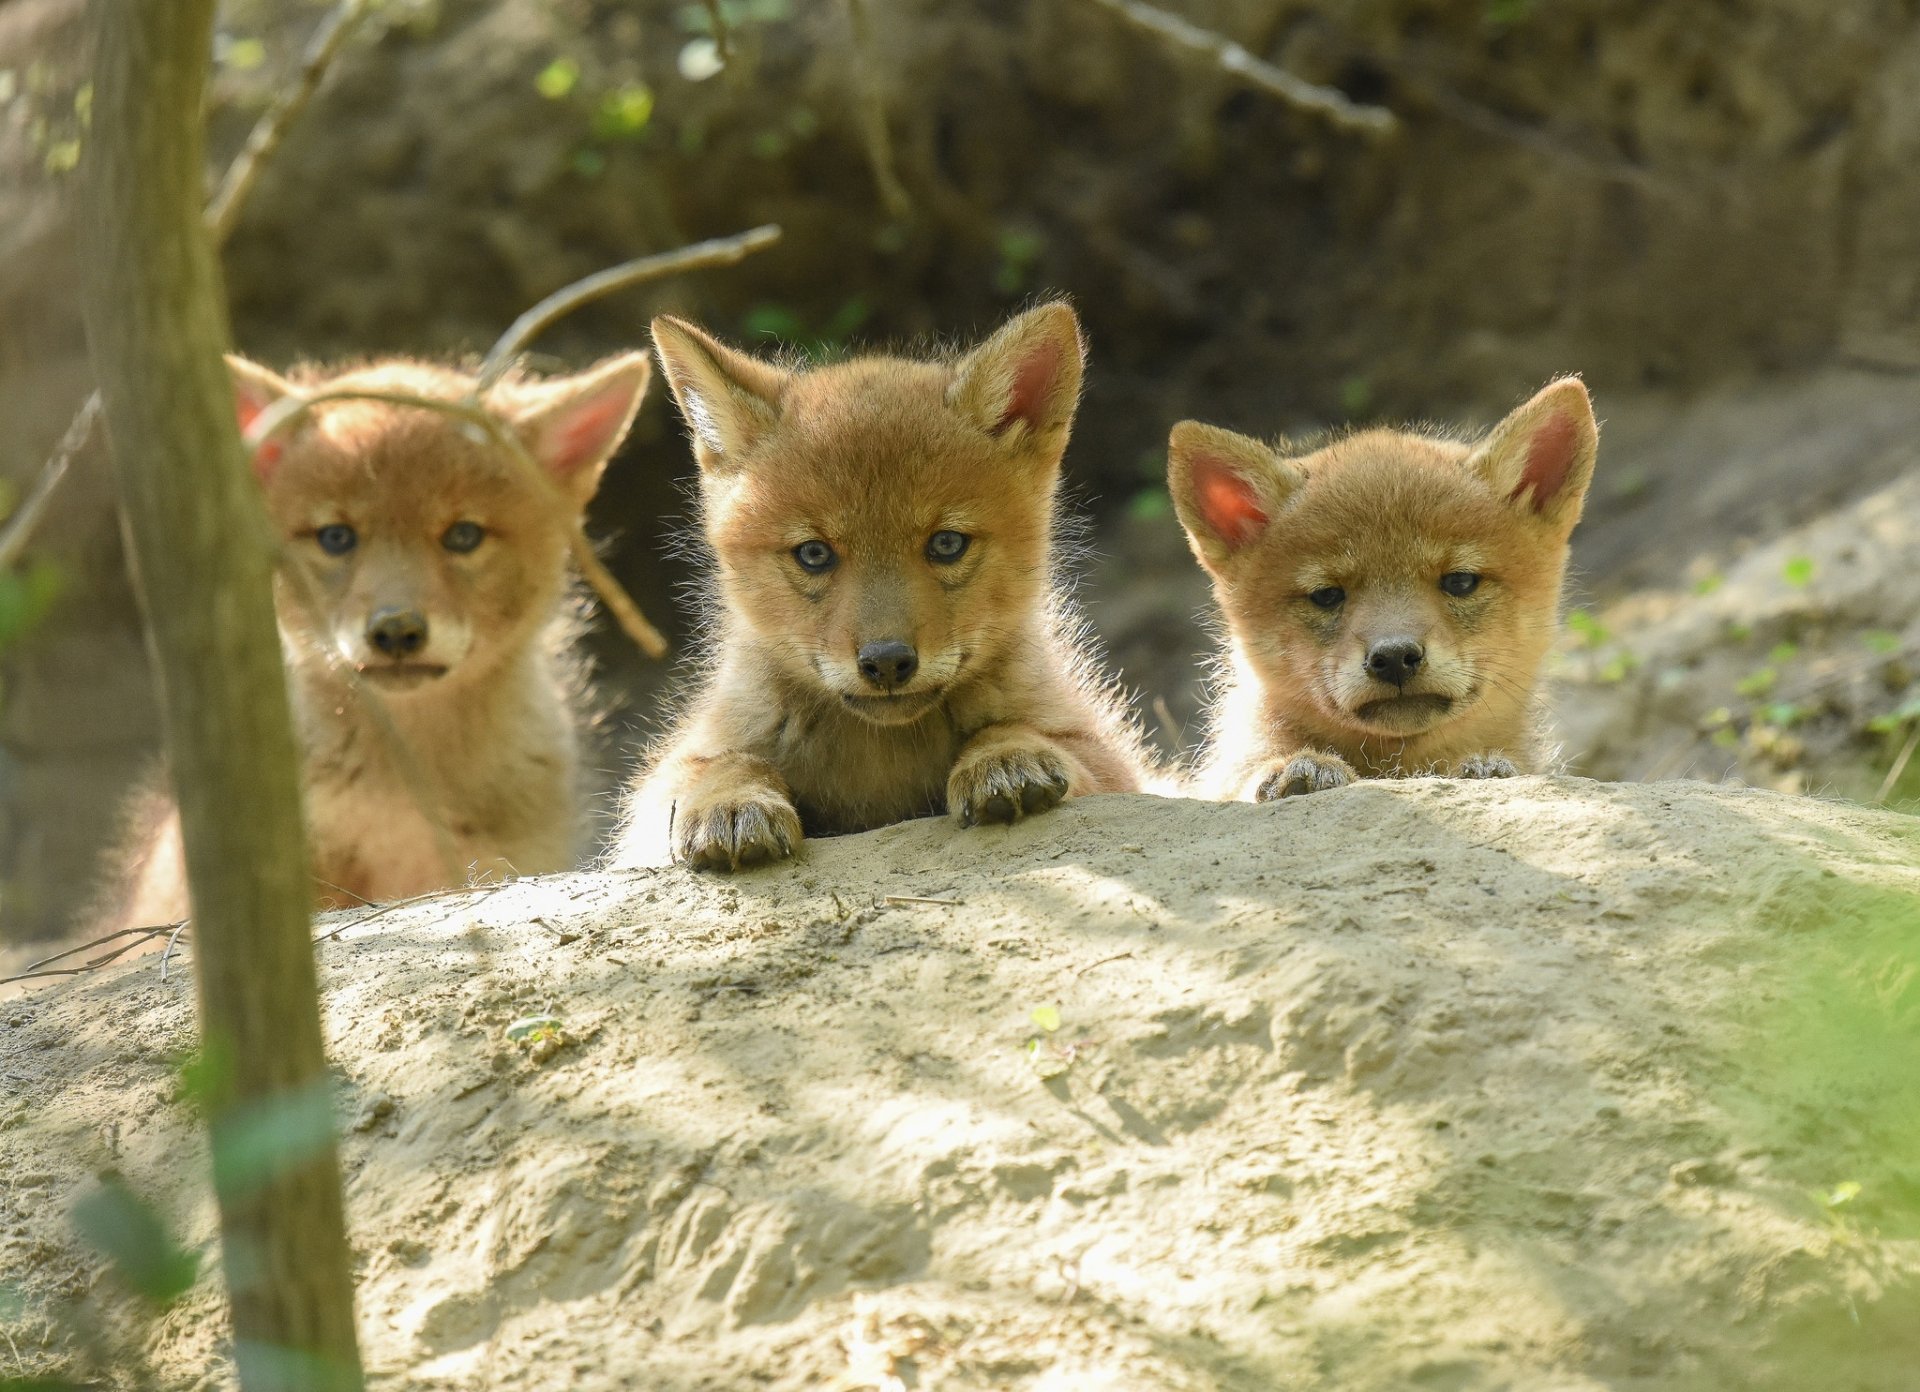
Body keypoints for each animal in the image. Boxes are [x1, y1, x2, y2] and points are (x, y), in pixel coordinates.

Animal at [608, 301, 1149, 872]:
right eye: (814, 553)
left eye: (947, 544)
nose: (887, 662)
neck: (882, 754)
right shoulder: (664, 791)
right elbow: (722, 765)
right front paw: (730, 803)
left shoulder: (1111, 760)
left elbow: (1016, 730)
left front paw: (1007, 757)